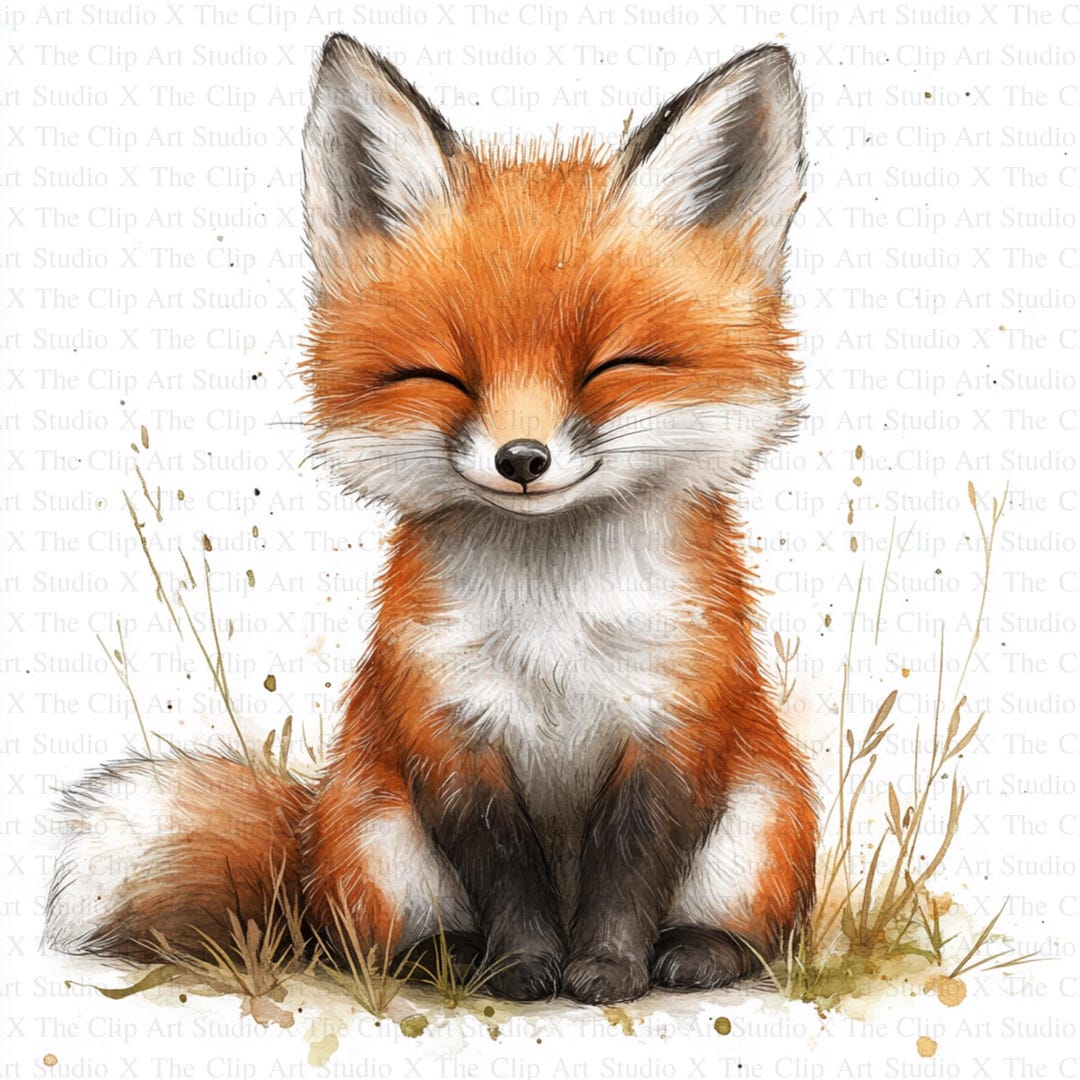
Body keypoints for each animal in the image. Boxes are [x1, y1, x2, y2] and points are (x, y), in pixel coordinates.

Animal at [45, 34, 817, 1005]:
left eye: (615, 365)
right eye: (441, 375)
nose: (522, 460)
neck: (552, 621)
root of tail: (307, 849)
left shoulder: (672, 725)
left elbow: (628, 875)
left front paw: (605, 969)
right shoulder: (449, 730)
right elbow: (507, 877)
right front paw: (523, 970)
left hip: (763, 819)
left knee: (752, 926)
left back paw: (700, 951)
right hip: (377, 835)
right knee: (369, 940)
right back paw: (444, 958)